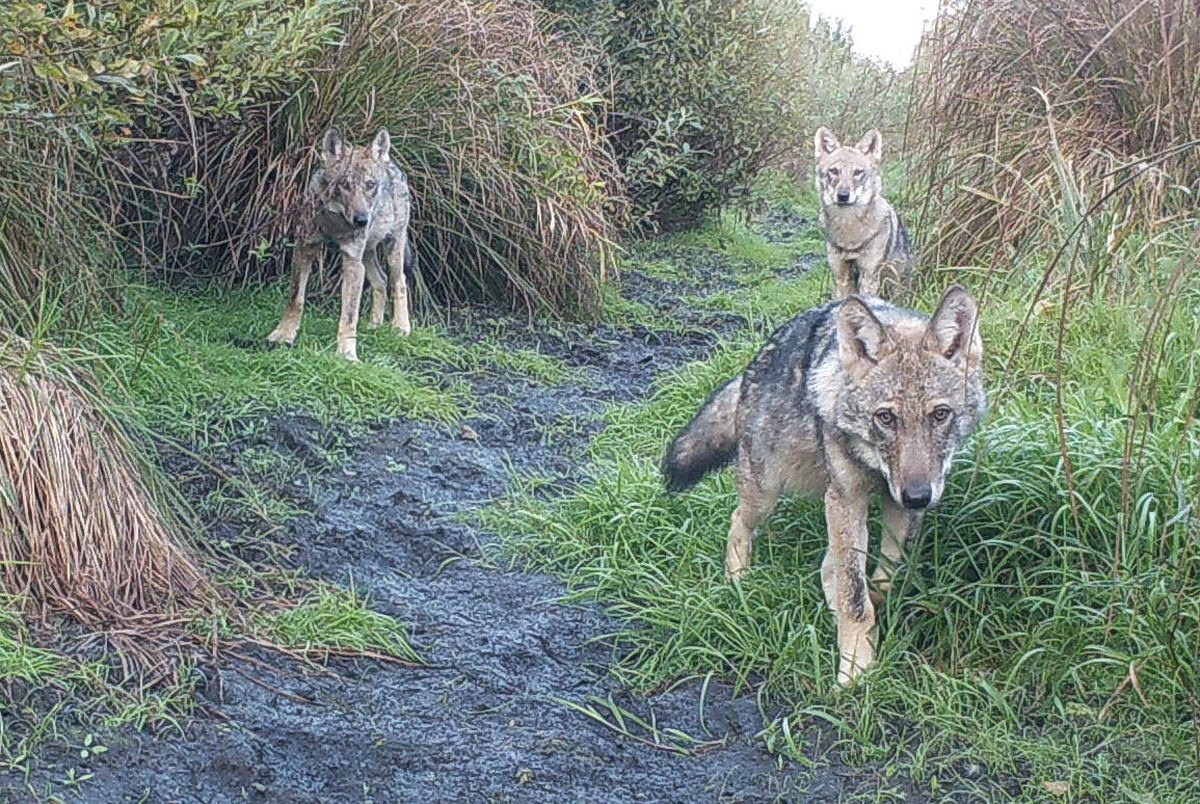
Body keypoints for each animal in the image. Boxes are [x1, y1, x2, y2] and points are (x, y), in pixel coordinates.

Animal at [267, 128, 414, 362]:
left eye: (370, 185)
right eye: (344, 185)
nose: (362, 220)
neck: (333, 222)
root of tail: (391, 163)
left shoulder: (352, 262)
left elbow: (349, 316)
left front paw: (347, 354)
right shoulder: (304, 249)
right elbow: (295, 299)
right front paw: (283, 335)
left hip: (392, 248)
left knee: (399, 281)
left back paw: (400, 328)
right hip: (367, 254)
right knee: (381, 281)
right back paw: (374, 325)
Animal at [663, 286, 985, 686]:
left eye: (940, 415)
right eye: (886, 417)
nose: (918, 497)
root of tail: (757, 360)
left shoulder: (893, 503)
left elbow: (882, 578)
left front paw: (866, 617)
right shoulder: (847, 497)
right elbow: (854, 596)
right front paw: (856, 670)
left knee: (830, 561)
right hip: (765, 492)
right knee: (738, 520)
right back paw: (736, 579)